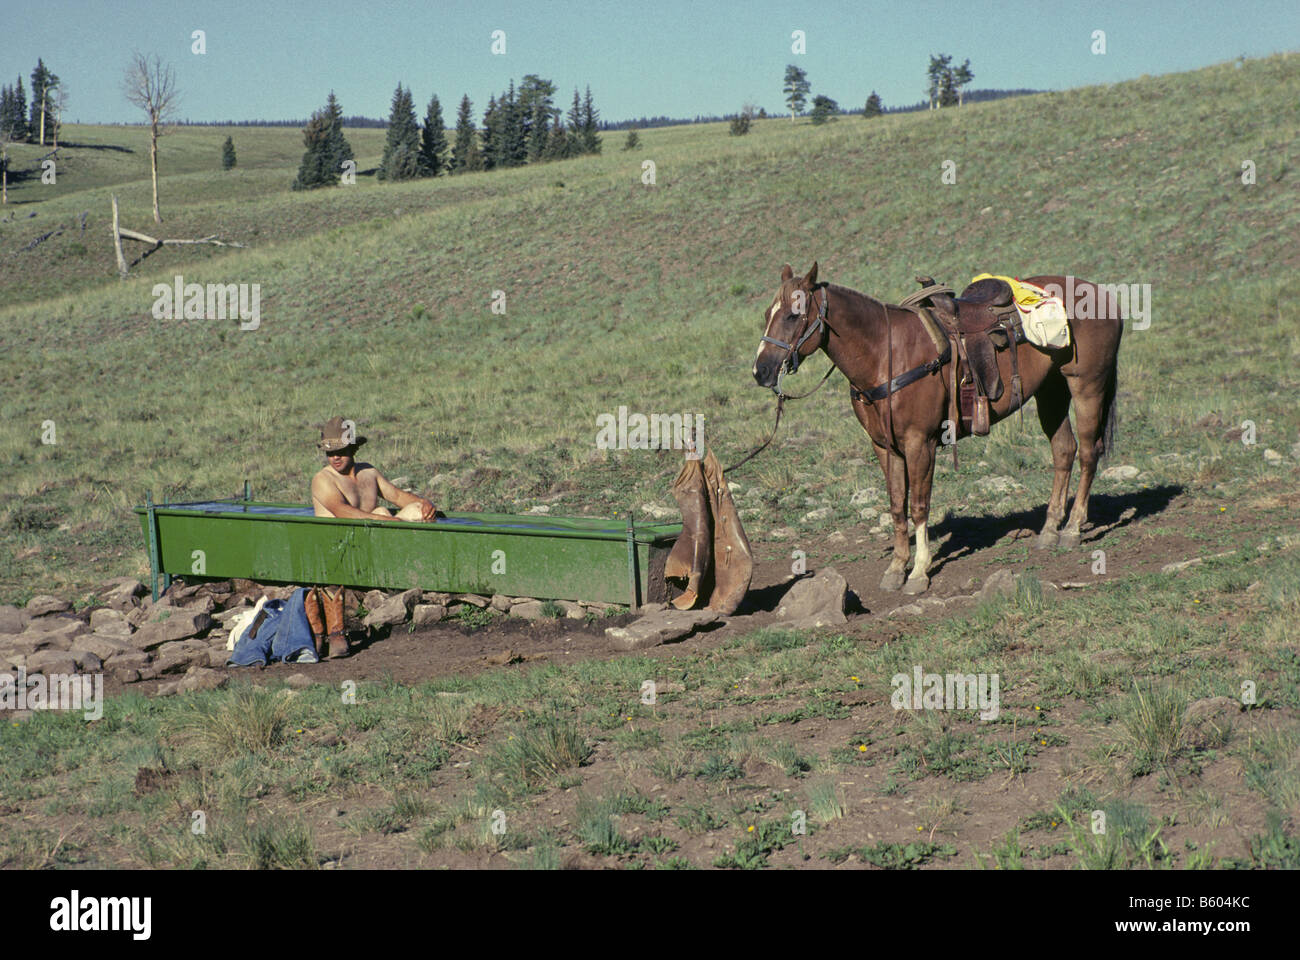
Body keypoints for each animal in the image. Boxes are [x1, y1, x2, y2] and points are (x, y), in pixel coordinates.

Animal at [753, 263, 1123, 595]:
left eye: (793, 315)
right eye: (768, 313)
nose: (761, 370)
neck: (885, 354)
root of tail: (1104, 295)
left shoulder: (921, 442)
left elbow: (918, 505)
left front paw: (918, 572)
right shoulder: (884, 446)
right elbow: (896, 504)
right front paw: (895, 569)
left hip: (1087, 386)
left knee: (1088, 452)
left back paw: (1072, 529)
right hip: (1051, 390)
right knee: (1063, 451)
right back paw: (1049, 530)